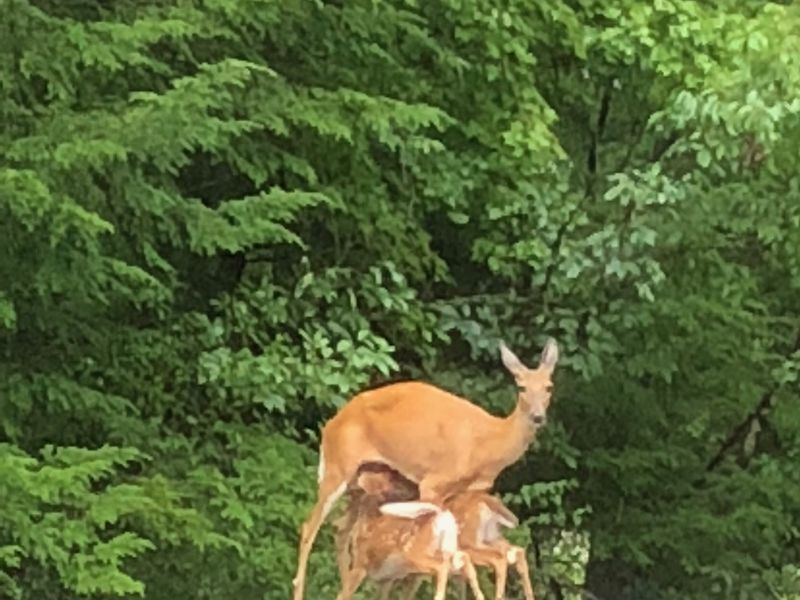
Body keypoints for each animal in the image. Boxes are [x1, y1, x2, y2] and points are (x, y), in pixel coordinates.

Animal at [293, 338, 559, 600]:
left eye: (548, 387)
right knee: (310, 528)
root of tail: (331, 423)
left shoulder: (466, 492)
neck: (487, 444)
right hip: (338, 467)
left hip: (360, 482)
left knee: (341, 529)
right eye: (522, 387)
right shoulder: (433, 482)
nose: (538, 417)